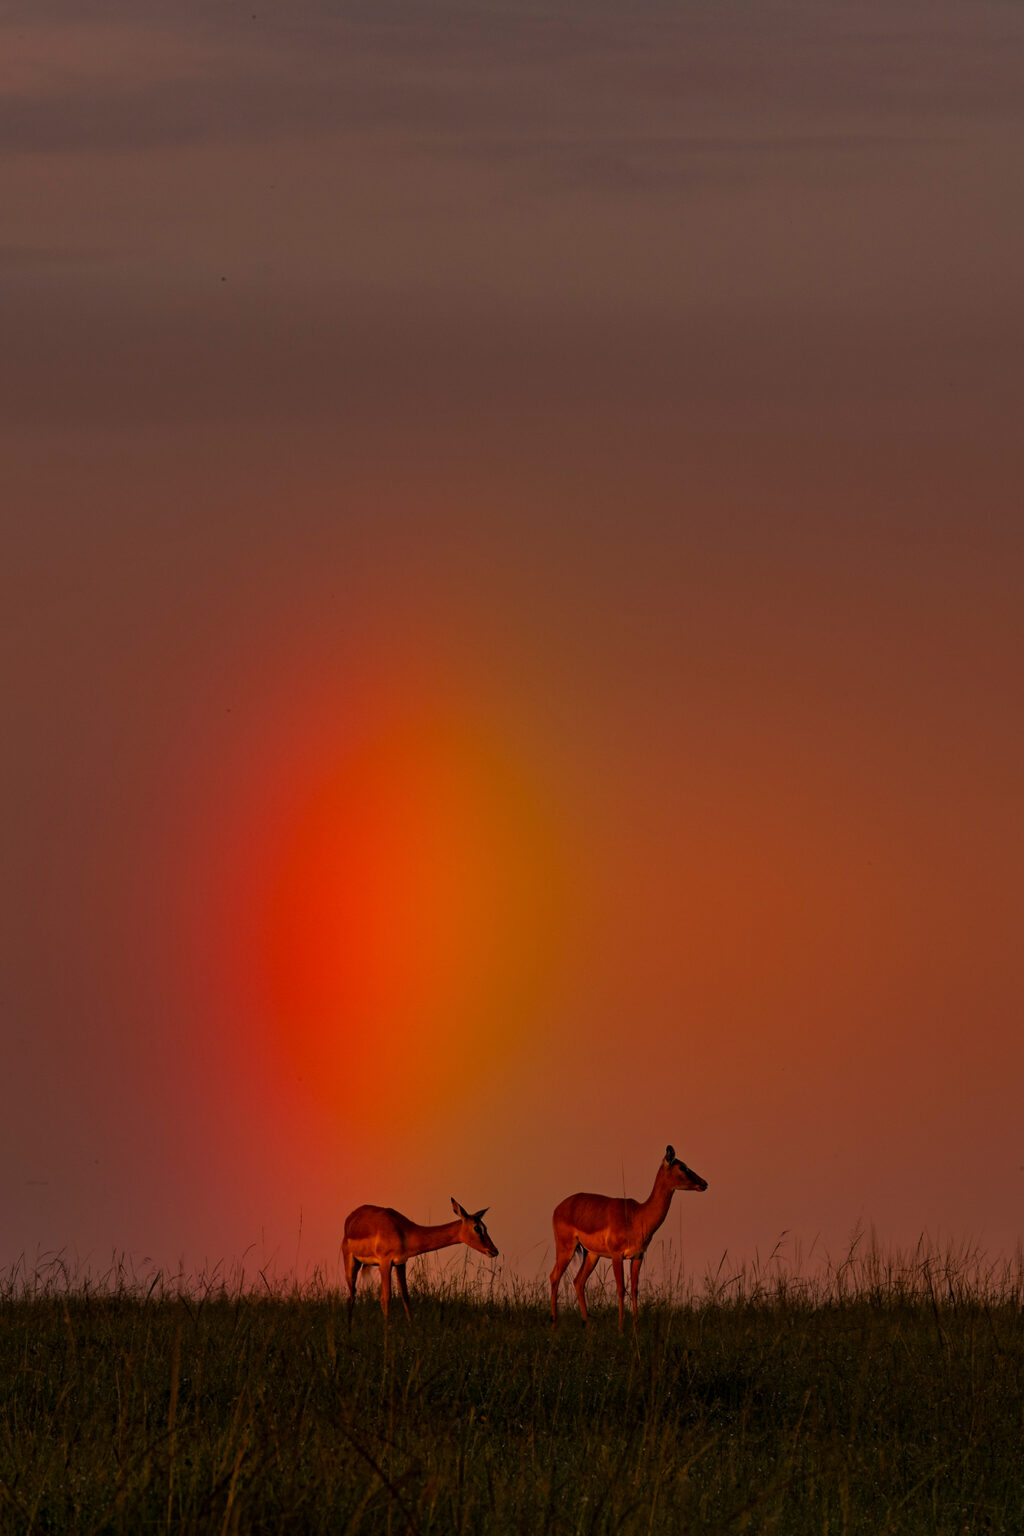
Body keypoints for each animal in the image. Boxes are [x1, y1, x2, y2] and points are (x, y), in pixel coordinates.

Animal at [343, 1197, 498, 1321]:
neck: (402, 1230)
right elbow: (386, 1298)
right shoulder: (385, 1263)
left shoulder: (400, 1263)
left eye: (485, 1227)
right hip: (351, 1264)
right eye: (477, 1228)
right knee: (352, 1295)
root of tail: (351, 1217)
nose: (494, 1250)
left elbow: (405, 1297)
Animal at [550, 1144, 707, 1329]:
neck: (637, 1216)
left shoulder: (638, 1256)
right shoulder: (617, 1256)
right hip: (566, 1249)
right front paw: (620, 1328)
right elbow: (621, 1289)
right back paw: (554, 1324)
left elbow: (634, 1289)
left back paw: (586, 1324)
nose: (704, 1183)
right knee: (554, 1277)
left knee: (578, 1281)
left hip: (592, 1255)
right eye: (682, 1167)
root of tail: (559, 1207)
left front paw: (636, 1328)